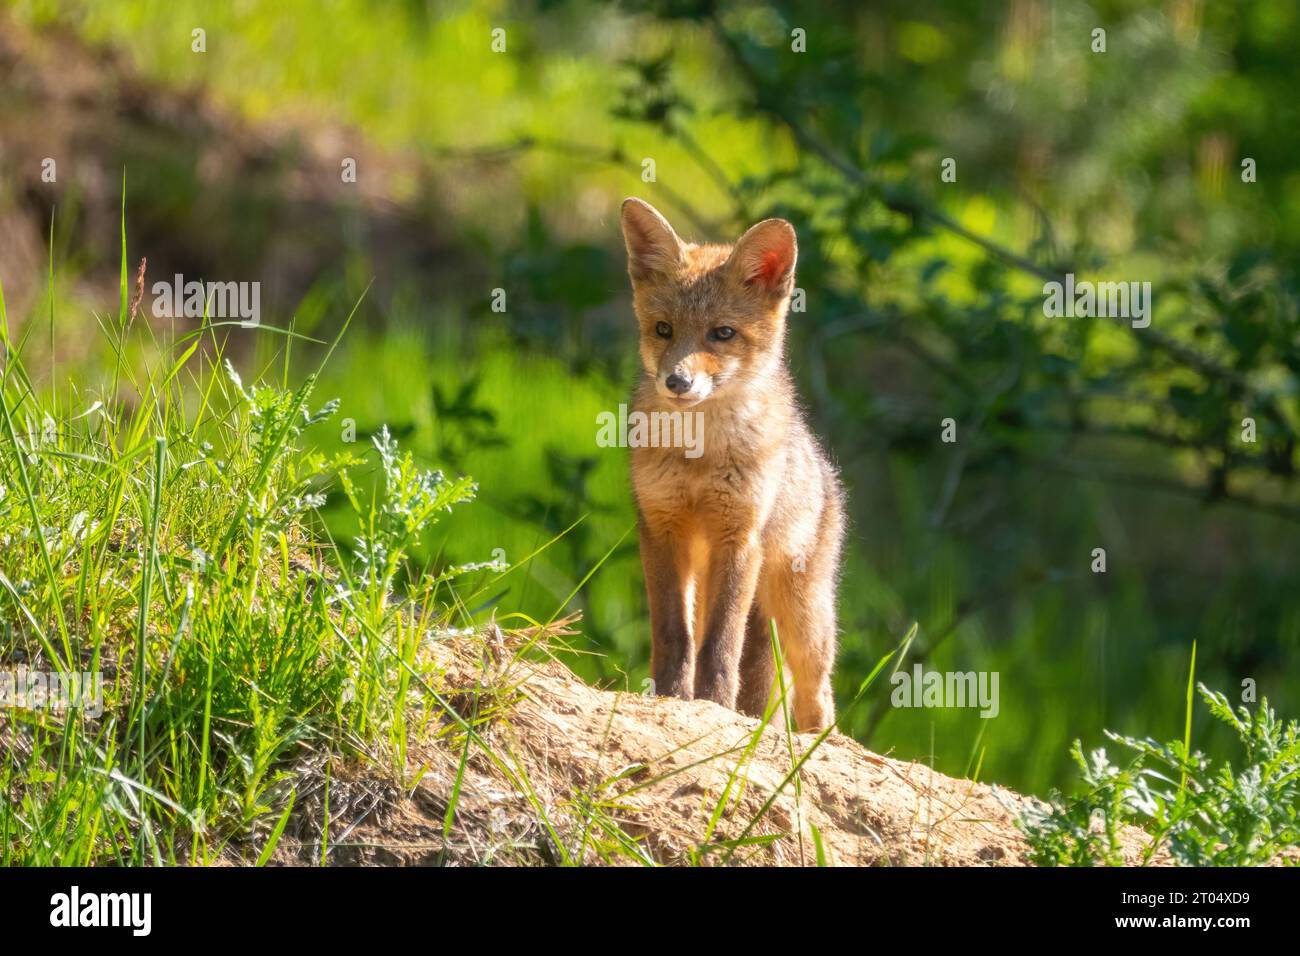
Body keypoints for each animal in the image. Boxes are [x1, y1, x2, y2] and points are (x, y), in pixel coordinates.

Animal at [621, 196, 847, 733]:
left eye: (722, 334)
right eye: (663, 330)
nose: (677, 382)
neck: (700, 455)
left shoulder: (740, 536)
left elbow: (722, 644)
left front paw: (714, 704)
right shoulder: (661, 528)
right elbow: (674, 634)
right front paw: (672, 695)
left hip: (801, 612)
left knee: (816, 692)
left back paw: (814, 741)